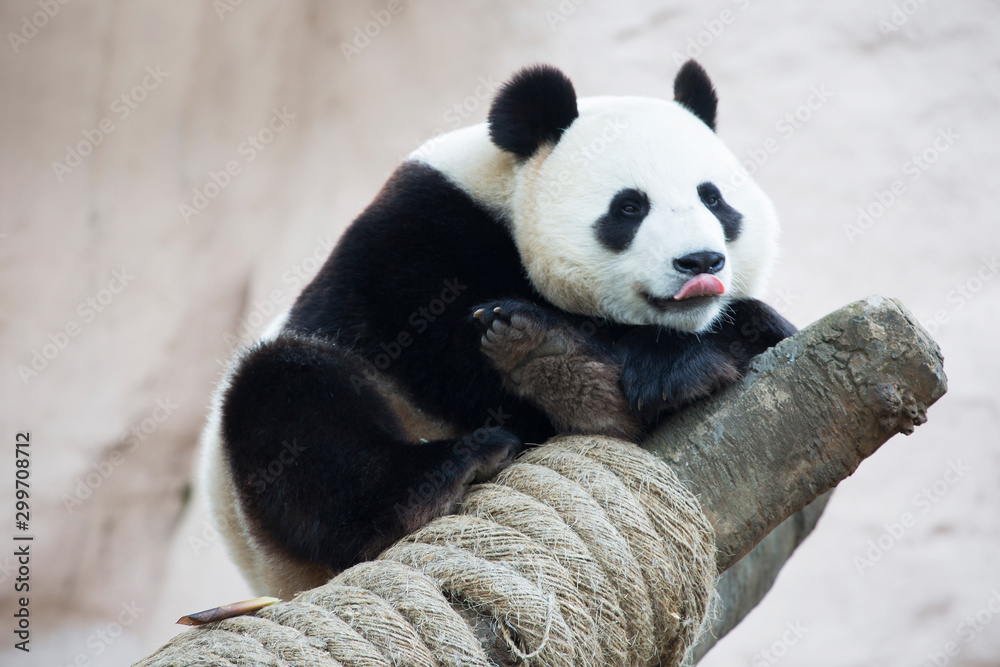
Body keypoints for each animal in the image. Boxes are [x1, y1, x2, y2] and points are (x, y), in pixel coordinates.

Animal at [200, 60, 796, 598]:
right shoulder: (412, 235)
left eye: (713, 198)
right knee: (289, 397)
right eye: (629, 207)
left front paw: (687, 356)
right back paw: (462, 457)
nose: (700, 262)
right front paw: (646, 364)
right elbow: (435, 347)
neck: (506, 190)